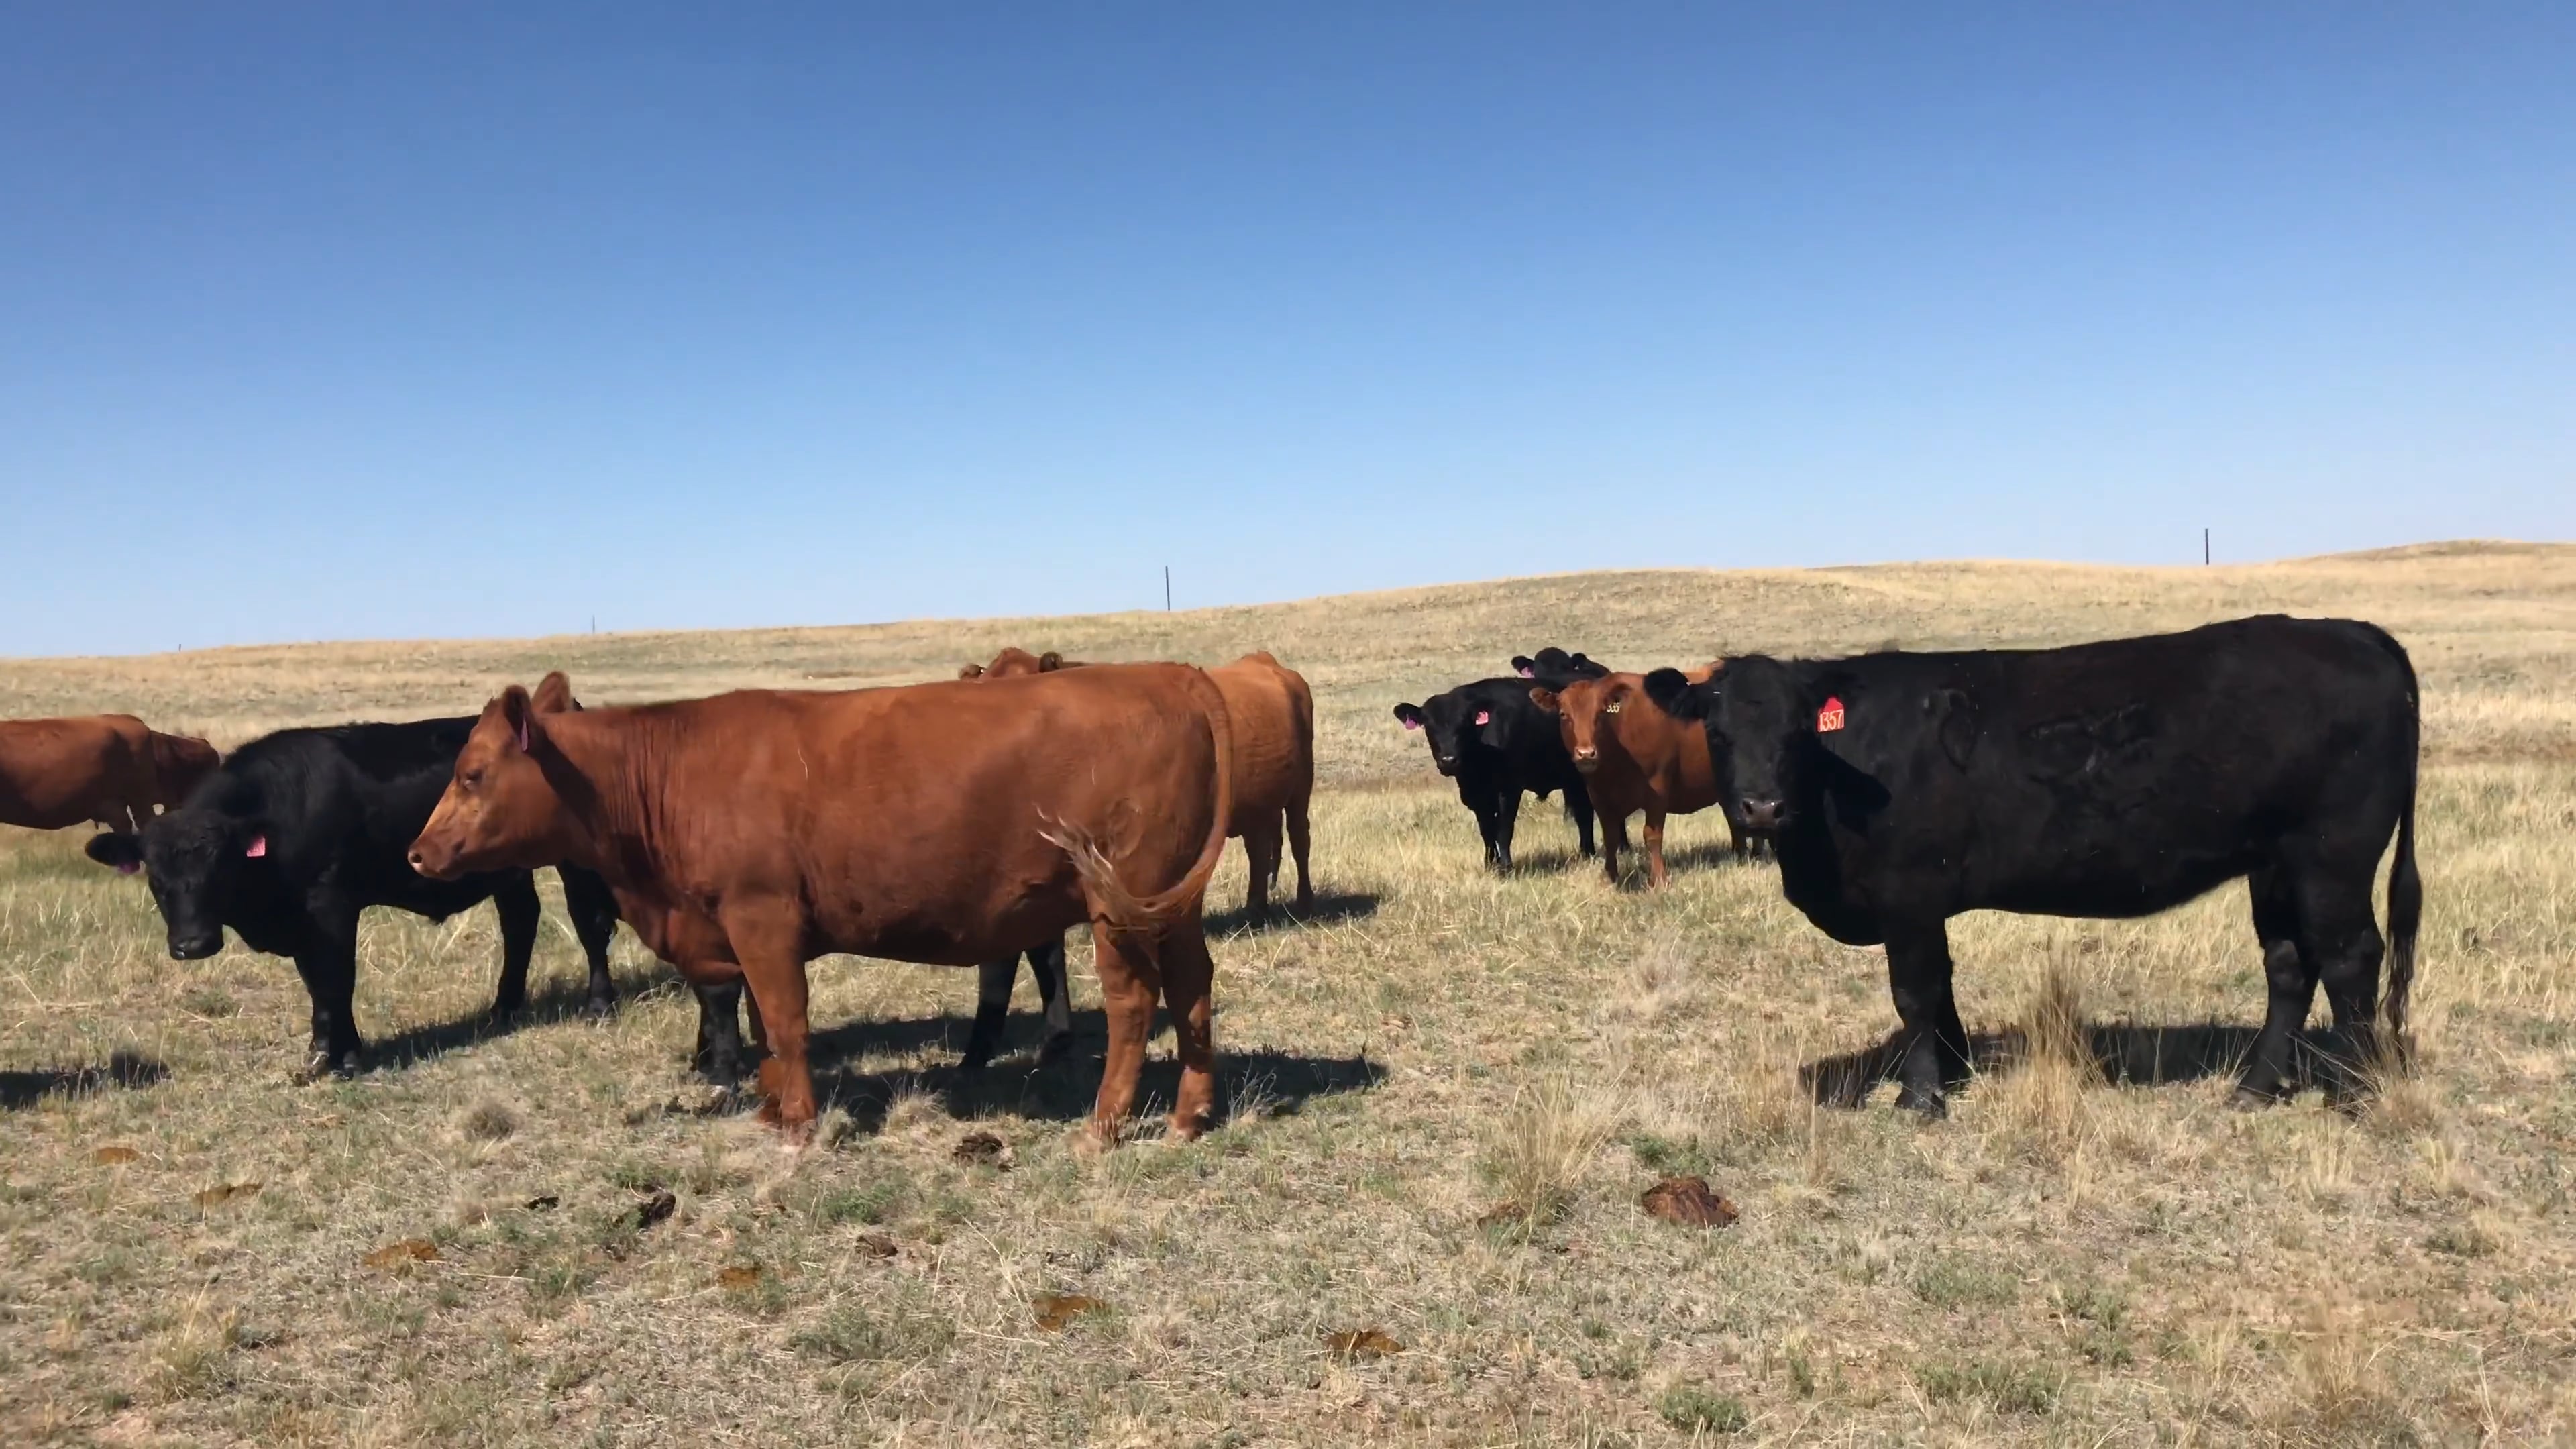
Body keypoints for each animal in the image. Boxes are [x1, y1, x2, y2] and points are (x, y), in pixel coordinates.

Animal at [77, 711, 720, 1082]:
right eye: (156, 877)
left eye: (219, 865)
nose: (192, 944)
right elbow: (318, 984)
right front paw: (329, 1048)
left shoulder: (332, 905)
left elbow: (336, 979)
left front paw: (340, 1057)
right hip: (508, 871)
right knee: (522, 923)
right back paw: (504, 1007)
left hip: (575, 861)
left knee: (589, 924)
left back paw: (597, 1004)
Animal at [406, 665, 1236, 1147]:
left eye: (473, 774)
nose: (417, 853)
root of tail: (1167, 677)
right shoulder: (732, 931)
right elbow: (760, 1023)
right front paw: (773, 1107)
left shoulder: (761, 916)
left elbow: (784, 1021)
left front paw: (798, 1124)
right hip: (1170, 905)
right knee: (1193, 987)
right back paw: (1188, 1115)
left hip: (1116, 906)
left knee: (1134, 1003)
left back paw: (1103, 1126)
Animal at [1392, 679, 1595, 869]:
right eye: (1429, 726)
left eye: (1464, 723)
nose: (1449, 760)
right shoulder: (1475, 793)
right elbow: (1487, 830)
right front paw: (1490, 864)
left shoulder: (1509, 789)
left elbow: (1504, 829)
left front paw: (1506, 866)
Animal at [1527, 670, 1729, 887]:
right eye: (1564, 714)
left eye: (1600, 713)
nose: (1586, 754)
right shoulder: (1599, 796)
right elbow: (1610, 836)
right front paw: (1610, 876)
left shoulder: (1657, 791)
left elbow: (1652, 835)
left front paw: (1659, 880)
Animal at [1642, 615, 2422, 1117]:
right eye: (1716, 731)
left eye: (1798, 732)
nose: (1761, 807)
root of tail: (2354, 631)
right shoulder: (1923, 903)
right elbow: (1942, 988)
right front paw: (1954, 1070)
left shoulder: (1908, 893)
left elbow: (1913, 993)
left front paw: (1920, 1099)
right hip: (2276, 863)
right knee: (2290, 965)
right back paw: (2255, 1089)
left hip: (2333, 854)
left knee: (2352, 959)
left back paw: (2353, 1091)